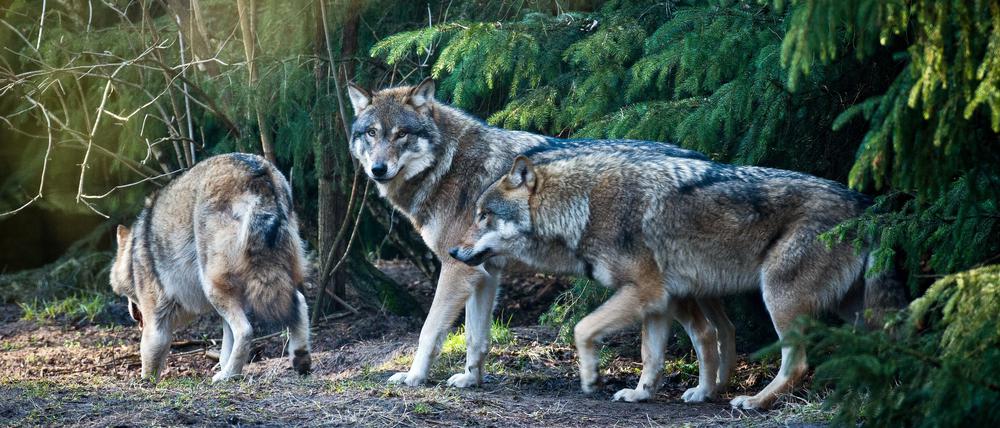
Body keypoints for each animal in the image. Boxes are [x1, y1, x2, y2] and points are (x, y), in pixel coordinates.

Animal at [109, 153, 312, 382]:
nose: (131, 312)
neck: (133, 258)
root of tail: (258, 172)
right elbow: (225, 348)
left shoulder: (156, 323)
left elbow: (149, 359)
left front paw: (145, 382)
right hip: (265, 281)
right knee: (300, 303)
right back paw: (300, 359)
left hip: (212, 287)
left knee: (246, 330)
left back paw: (227, 376)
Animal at [345, 78, 736, 402]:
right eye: (372, 133)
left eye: (401, 134)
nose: (377, 169)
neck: (447, 165)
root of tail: (705, 160)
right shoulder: (484, 272)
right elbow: (476, 337)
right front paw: (471, 380)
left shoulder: (458, 269)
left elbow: (429, 330)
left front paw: (414, 378)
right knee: (726, 328)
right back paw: (718, 390)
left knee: (706, 332)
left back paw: (703, 391)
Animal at [450, 148, 906, 409]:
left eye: (483, 216)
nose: (453, 252)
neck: (581, 208)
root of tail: (866, 205)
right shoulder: (657, 301)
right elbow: (652, 356)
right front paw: (641, 393)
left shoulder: (644, 292)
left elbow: (582, 328)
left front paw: (591, 377)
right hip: (851, 310)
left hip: (778, 298)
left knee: (798, 364)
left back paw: (754, 402)